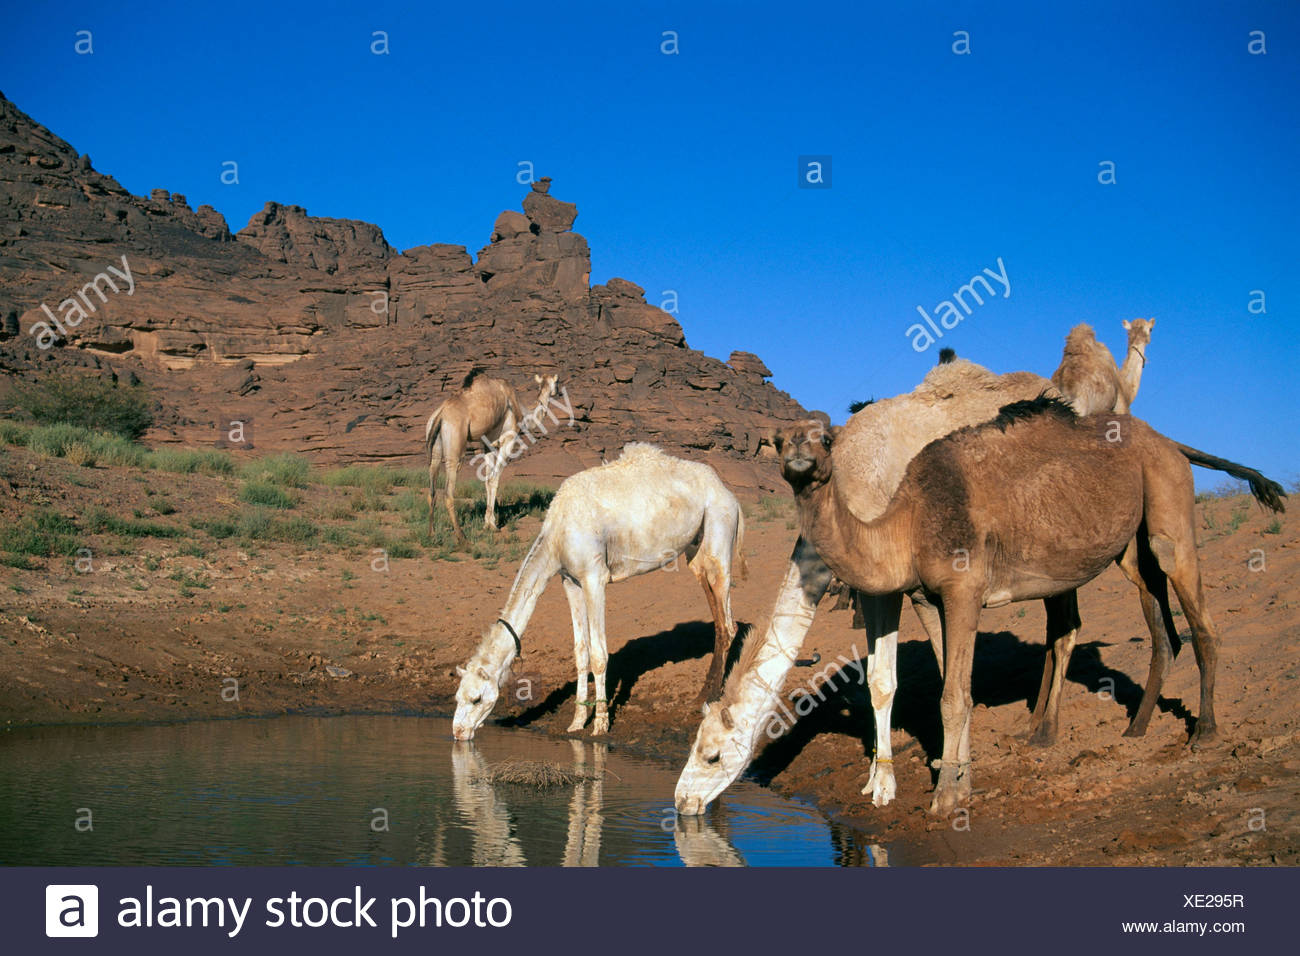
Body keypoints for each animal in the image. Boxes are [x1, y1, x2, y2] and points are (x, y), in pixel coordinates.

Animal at [425, 369, 559, 543]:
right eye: (556, 382)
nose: (556, 392)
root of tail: (440, 415)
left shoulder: (487, 444)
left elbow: (487, 480)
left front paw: (487, 523)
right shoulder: (509, 437)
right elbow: (495, 479)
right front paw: (493, 525)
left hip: (434, 442)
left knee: (432, 488)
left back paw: (431, 533)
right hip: (455, 442)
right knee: (448, 491)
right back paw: (461, 536)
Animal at [452, 443, 746, 741]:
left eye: (476, 699)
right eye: (457, 697)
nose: (458, 732)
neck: (557, 535)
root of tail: (729, 494)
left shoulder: (595, 578)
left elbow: (599, 654)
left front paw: (601, 724)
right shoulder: (570, 580)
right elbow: (581, 652)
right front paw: (577, 720)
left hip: (719, 529)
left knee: (727, 621)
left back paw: (708, 698)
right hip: (696, 552)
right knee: (719, 618)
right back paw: (702, 696)